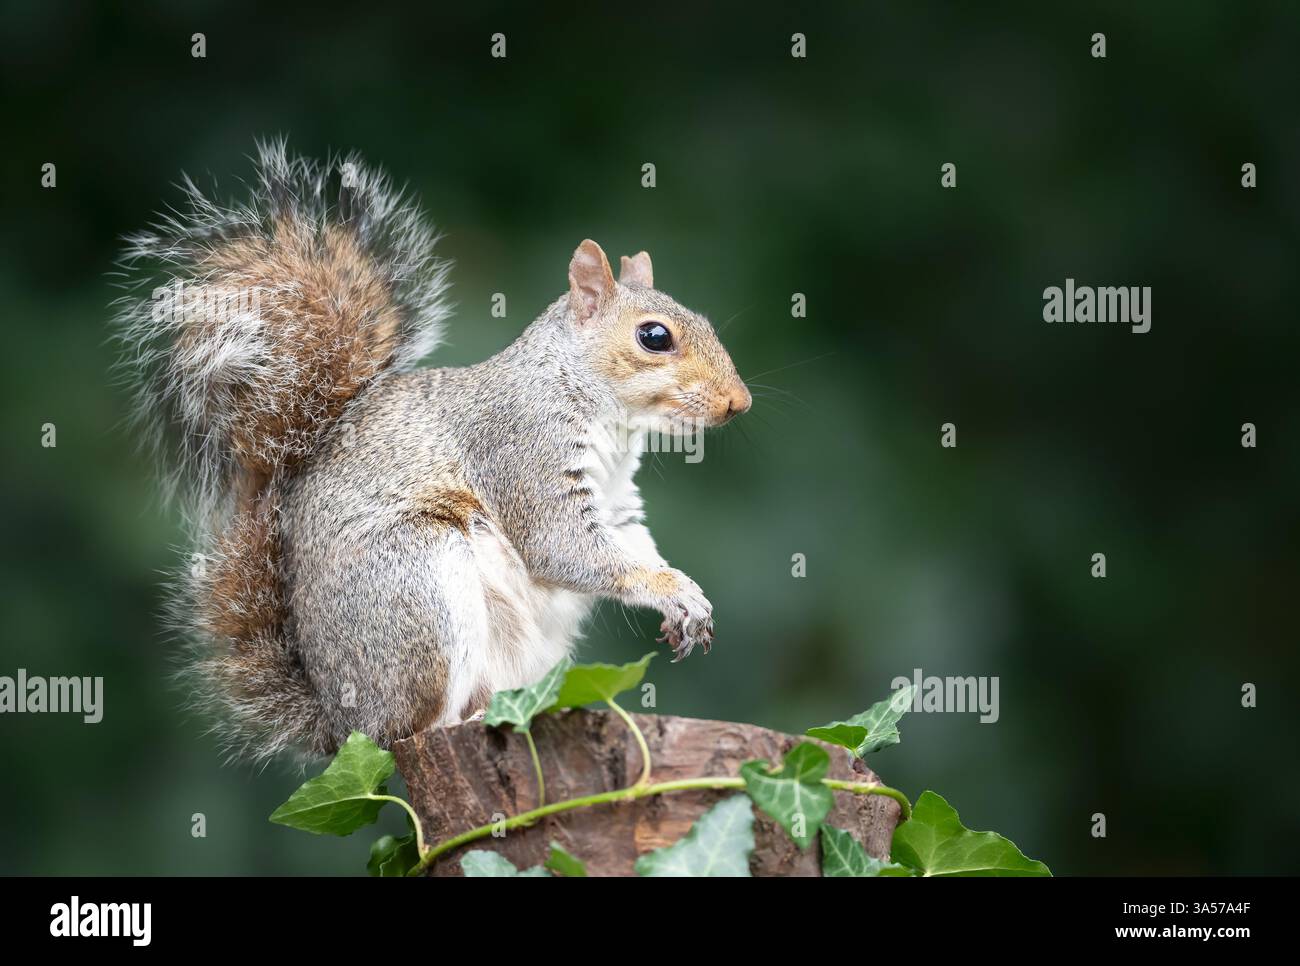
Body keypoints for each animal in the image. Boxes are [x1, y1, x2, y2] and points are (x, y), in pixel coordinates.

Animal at [113, 140, 751, 762]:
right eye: (654, 336)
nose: (738, 402)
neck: (607, 418)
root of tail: (341, 723)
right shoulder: (522, 450)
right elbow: (563, 545)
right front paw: (669, 589)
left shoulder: (617, 502)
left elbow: (631, 543)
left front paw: (686, 596)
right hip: (417, 583)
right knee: (408, 728)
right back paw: (451, 722)